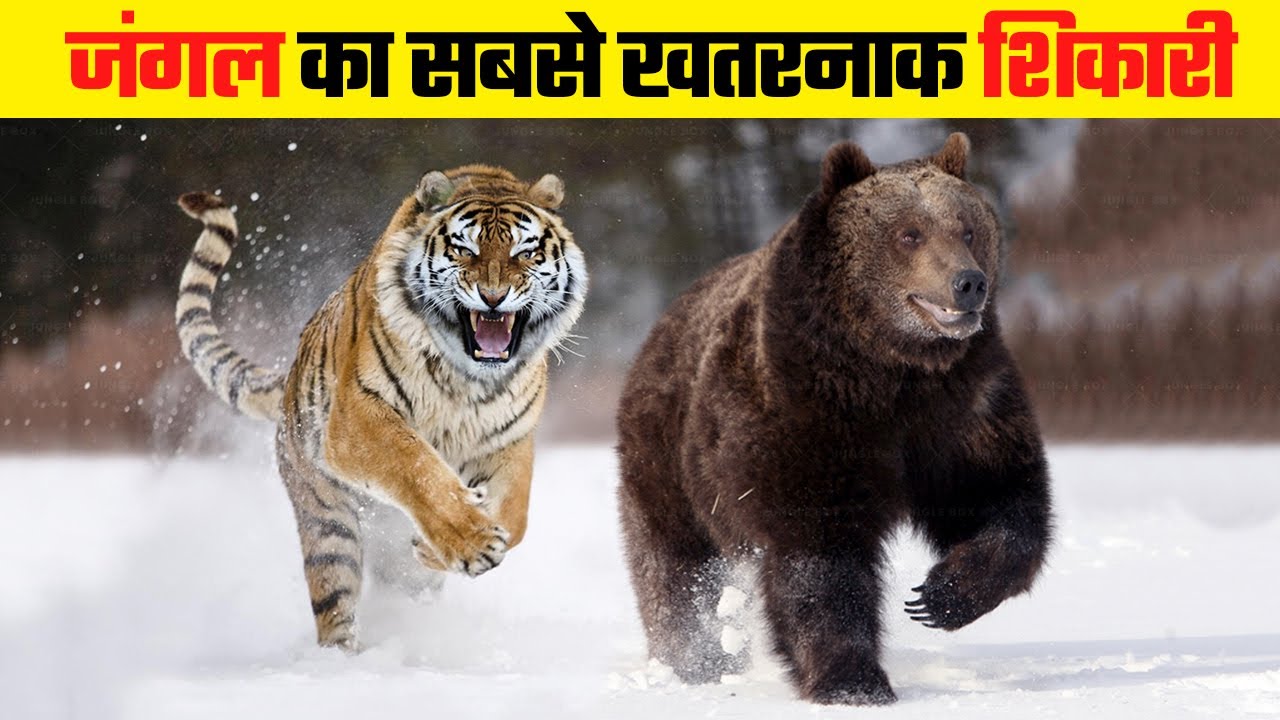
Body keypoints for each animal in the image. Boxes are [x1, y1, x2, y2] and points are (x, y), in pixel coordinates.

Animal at [174, 165, 587, 649]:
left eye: (525, 251)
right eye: (464, 248)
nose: (492, 296)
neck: (468, 380)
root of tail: (290, 377)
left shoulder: (509, 439)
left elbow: (516, 513)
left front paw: (440, 545)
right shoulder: (358, 419)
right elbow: (417, 467)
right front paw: (471, 540)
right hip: (328, 526)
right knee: (335, 603)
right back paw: (343, 658)